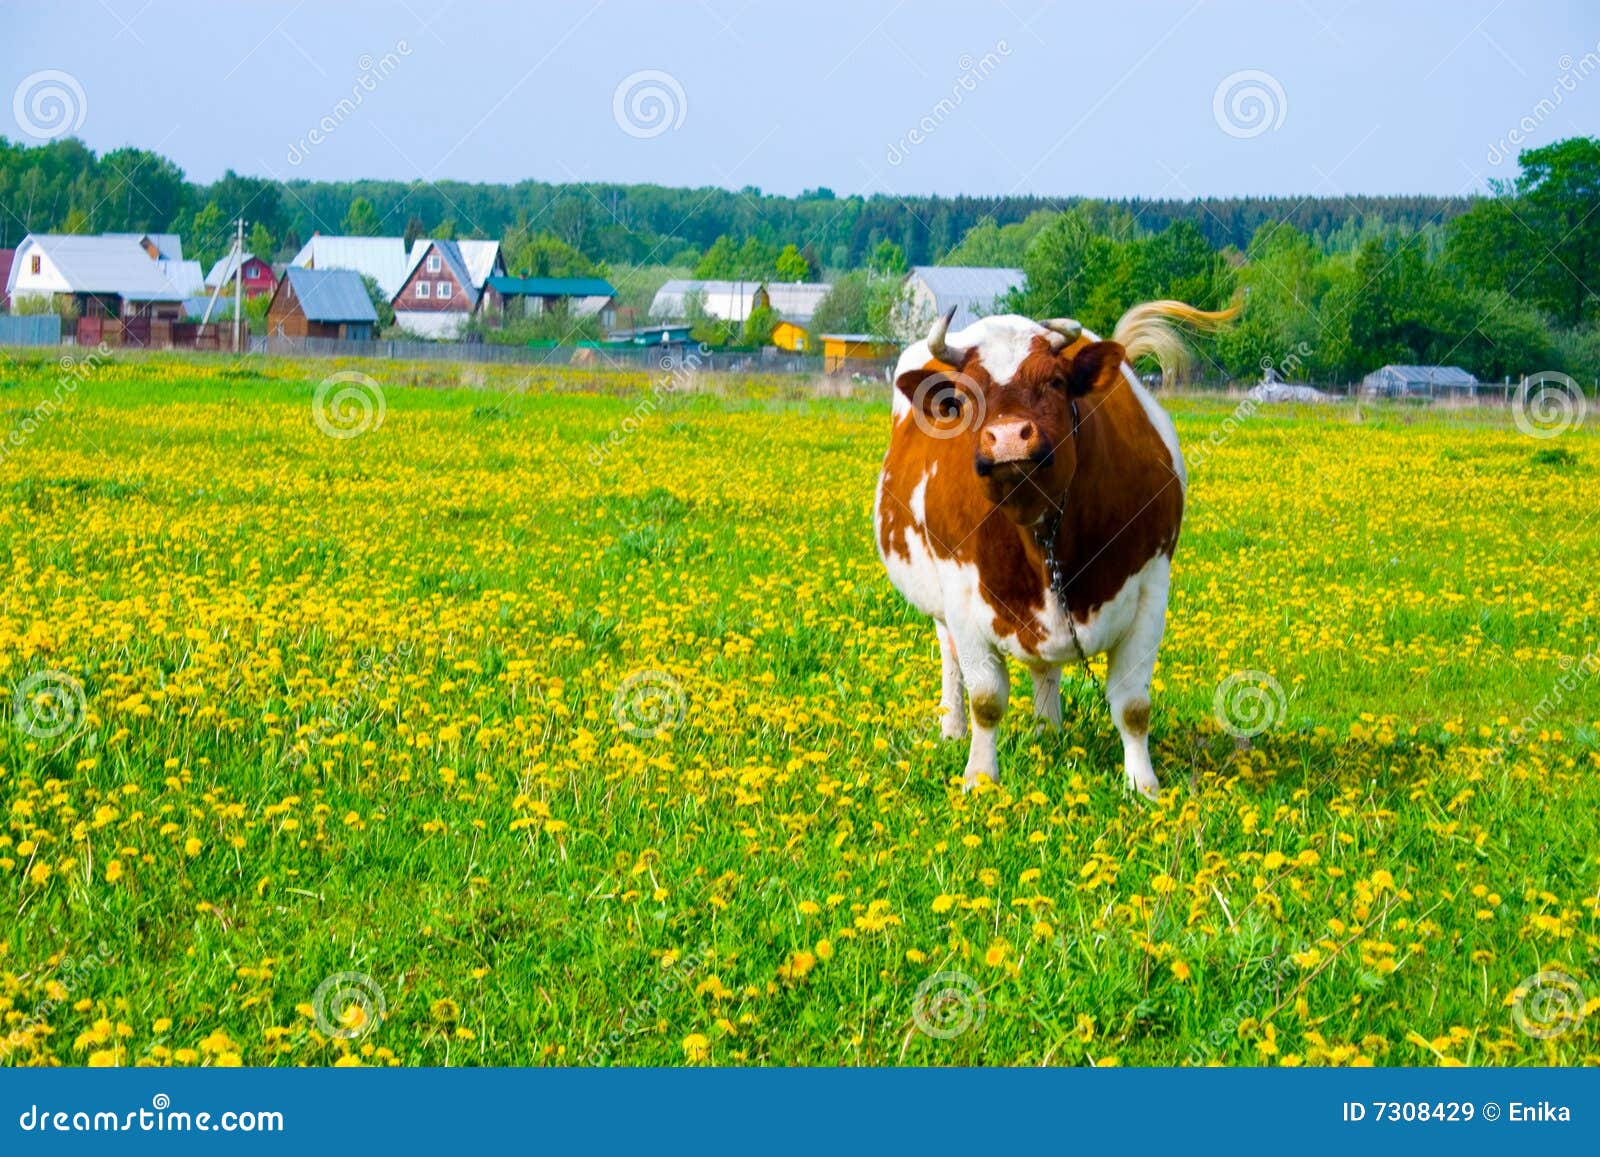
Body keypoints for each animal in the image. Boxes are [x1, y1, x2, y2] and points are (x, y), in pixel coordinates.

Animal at [874, 300, 1234, 798]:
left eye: (1055, 382)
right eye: (964, 399)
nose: (1008, 437)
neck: (1040, 530)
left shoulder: (1150, 589)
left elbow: (1133, 705)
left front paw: (1143, 786)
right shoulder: (962, 594)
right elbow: (985, 698)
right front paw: (979, 778)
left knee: (1045, 669)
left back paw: (1049, 732)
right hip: (941, 604)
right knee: (951, 659)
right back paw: (953, 728)